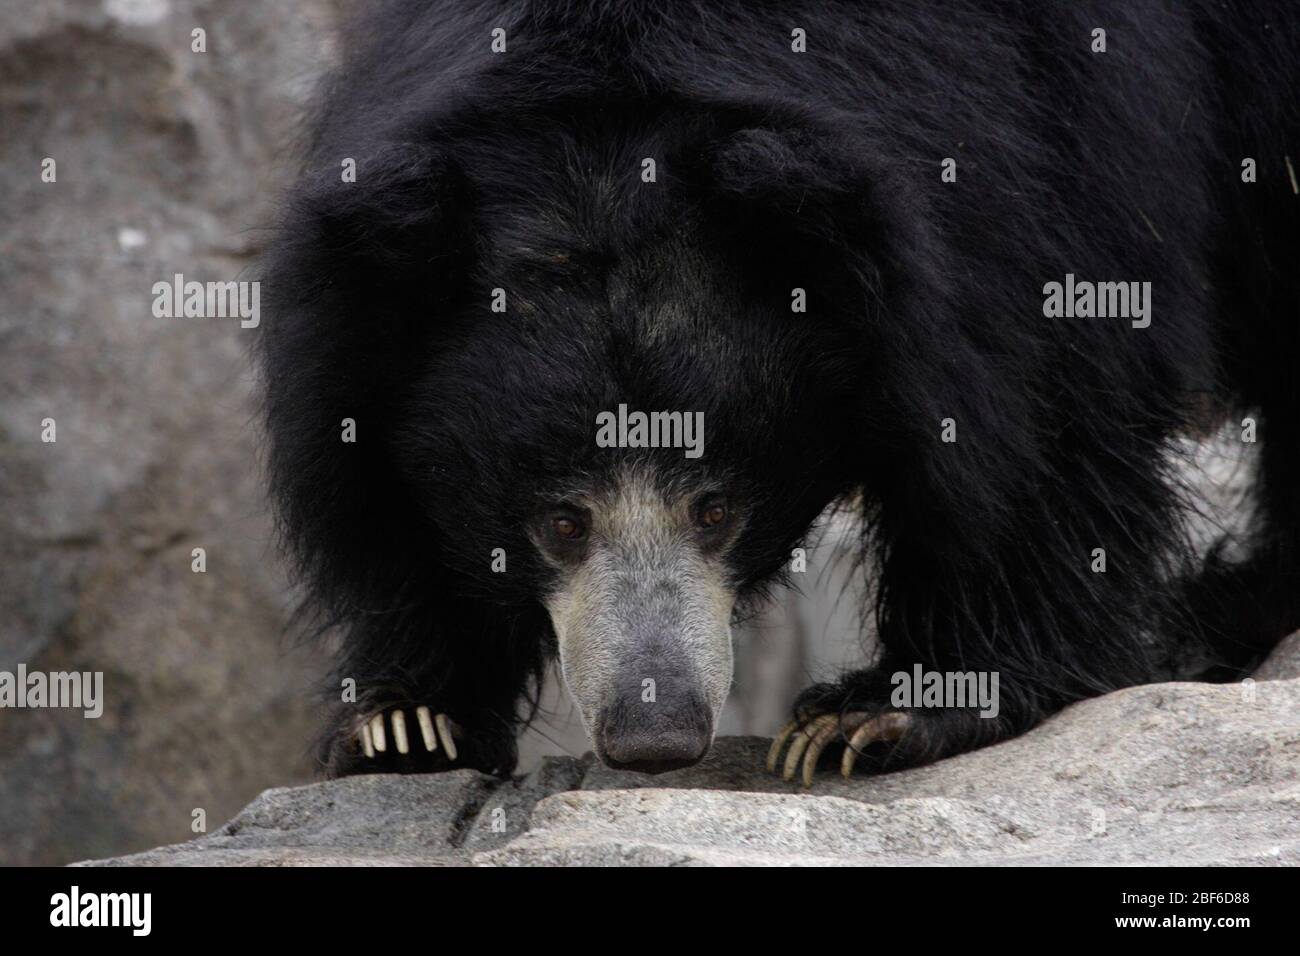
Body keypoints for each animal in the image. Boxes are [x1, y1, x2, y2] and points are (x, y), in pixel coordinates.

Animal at [258, 0, 1298, 785]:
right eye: (561, 522)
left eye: (716, 508)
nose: (655, 737)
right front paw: (407, 722)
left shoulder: (1054, 145)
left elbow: (1041, 414)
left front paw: (872, 717)